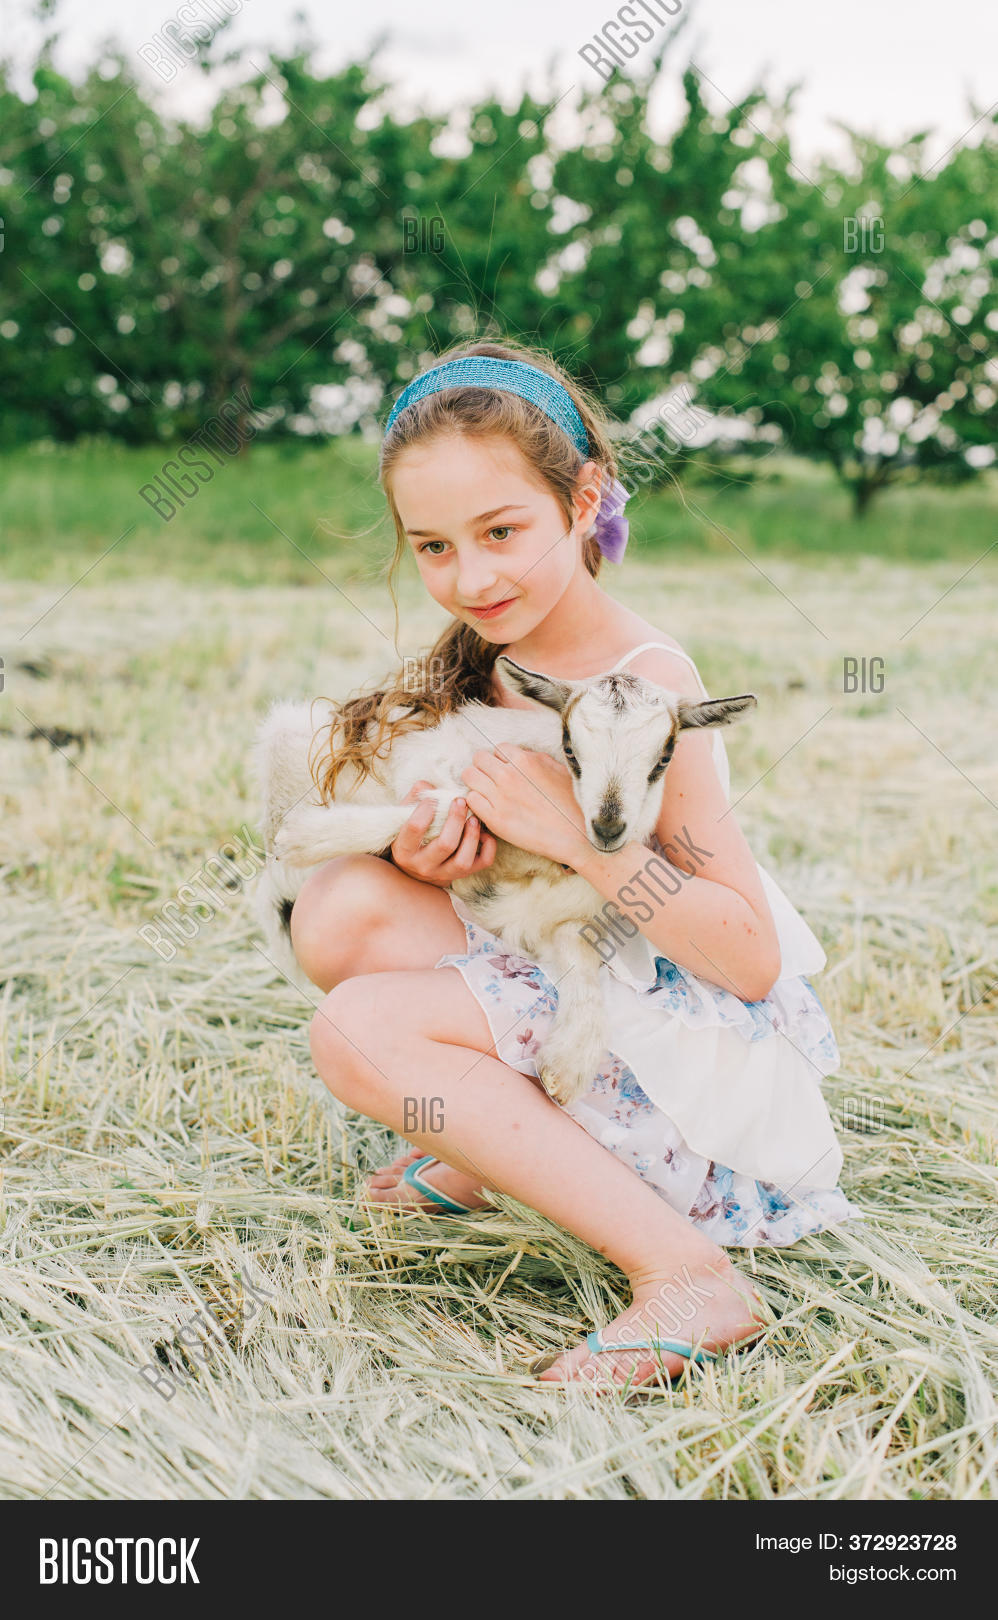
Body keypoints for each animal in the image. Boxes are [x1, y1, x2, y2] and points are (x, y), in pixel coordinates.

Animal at [252, 657, 756, 1105]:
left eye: (664, 756)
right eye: (570, 747)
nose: (608, 829)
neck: (537, 863)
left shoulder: (558, 919)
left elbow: (582, 961)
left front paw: (566, 1069)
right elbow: (447, 806)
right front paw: (304, 838)